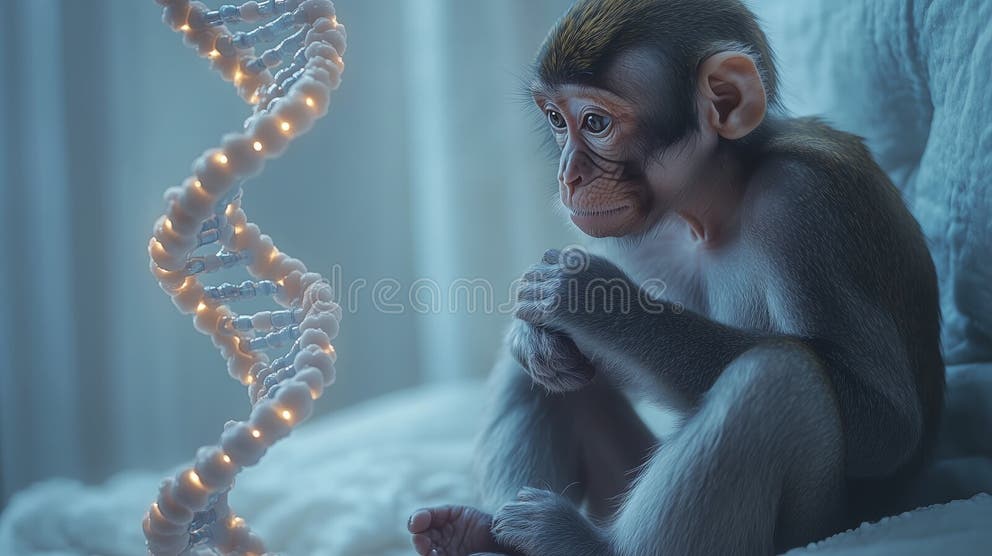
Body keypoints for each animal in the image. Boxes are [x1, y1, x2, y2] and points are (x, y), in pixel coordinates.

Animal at [406, 0, 945, 554]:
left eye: (595, 122)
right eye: (556, 119)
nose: (567, 176)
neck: (722, 201)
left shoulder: (801, 205)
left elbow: (887, 423)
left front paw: (597, 302)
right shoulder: (653, 237)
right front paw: (532, 335)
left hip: (808, 528)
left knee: (778, 373)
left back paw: (579, 542)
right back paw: (476, 532)